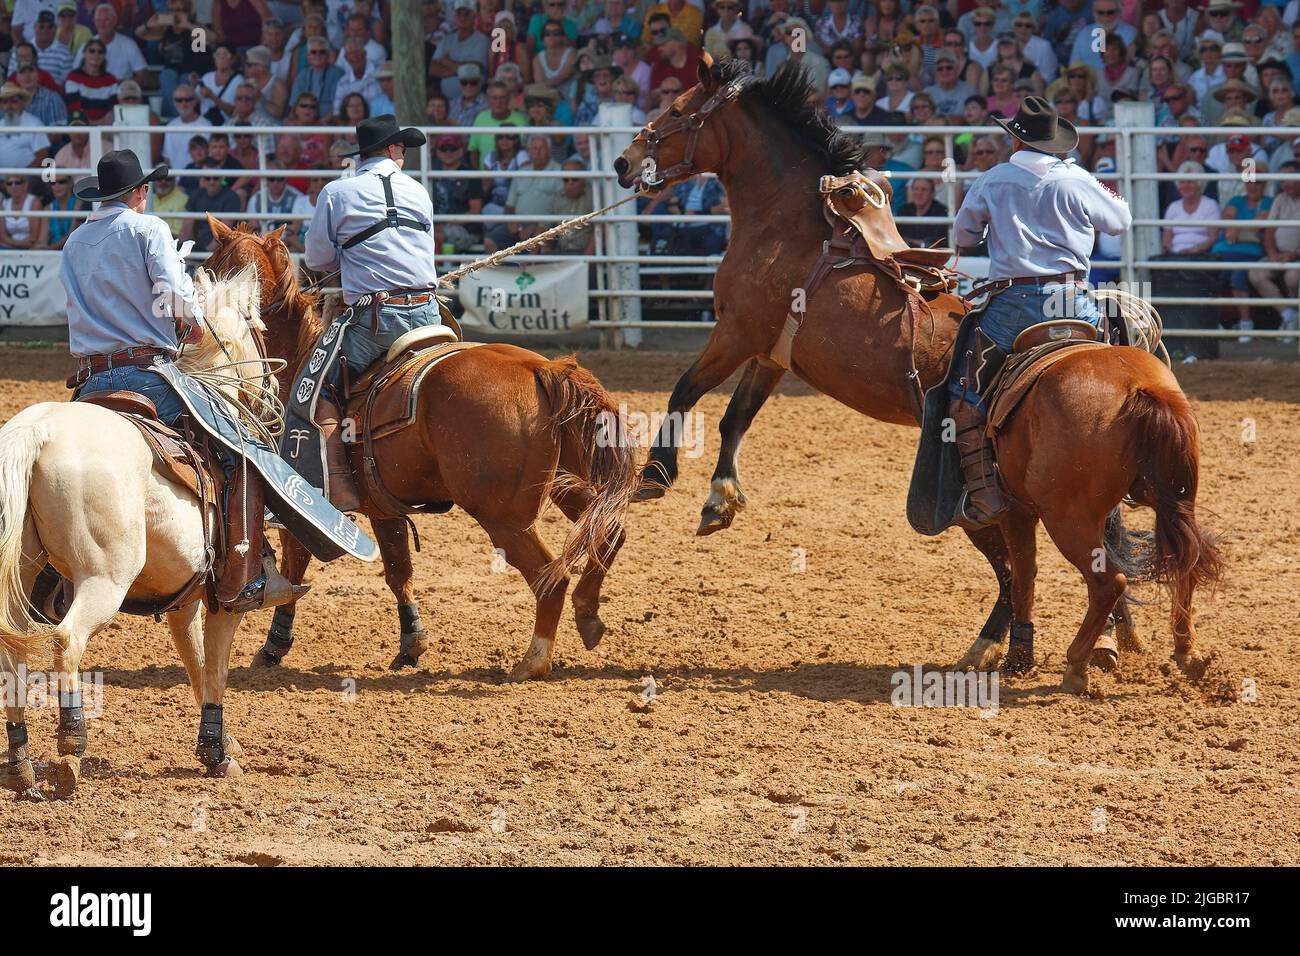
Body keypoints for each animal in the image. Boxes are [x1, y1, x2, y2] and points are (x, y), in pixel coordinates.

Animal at [0, 267, 270, 798]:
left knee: (14, 650)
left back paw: (20, 765)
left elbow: (196, 663)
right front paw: (218, 755)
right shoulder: (221, 598)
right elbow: (216, 665)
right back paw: (70, 749)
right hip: (104, 579)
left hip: (24, 570)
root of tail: (38, 429)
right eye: (259, 329)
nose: (269, 386)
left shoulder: (184, 600)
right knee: (66, 640)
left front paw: (220, 743)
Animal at [203, 218, 640, 682]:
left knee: (549, 575)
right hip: (562, 484)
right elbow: (399, 572)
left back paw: (533, 660)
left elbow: (295, 566)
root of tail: (542, 367)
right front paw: (412, 644)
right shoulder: (383, 507)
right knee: (608, 531)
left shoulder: (301, 497)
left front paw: (273, 647)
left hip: (503, 515)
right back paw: (588, 615)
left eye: (211, 263)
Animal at [613, 57, 1222, 692]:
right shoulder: (770, 355)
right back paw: (1116, 645)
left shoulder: (736, 333)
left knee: (1057, 568)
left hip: (1035, 503)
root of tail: (1138, 385)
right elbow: (735, 418)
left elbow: (686, 390)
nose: (624, 162)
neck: (796, 231)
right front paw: (721, 499)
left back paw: (1049, 651)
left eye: (676, 109)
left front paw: (656, 474)